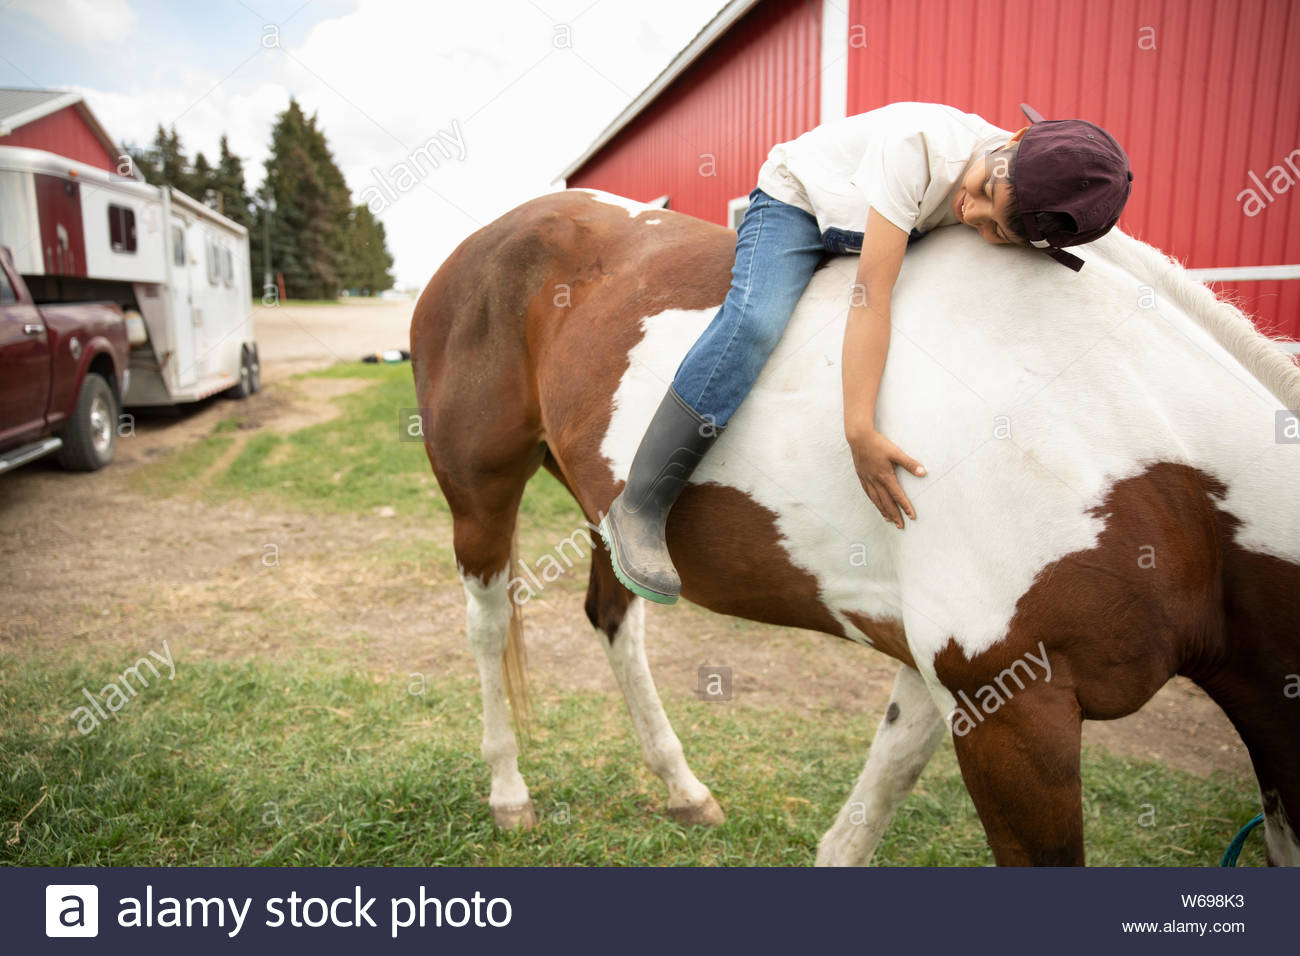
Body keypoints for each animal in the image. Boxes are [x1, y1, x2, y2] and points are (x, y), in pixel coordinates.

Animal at [409, 187, 1300, 866]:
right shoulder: (1016, 708)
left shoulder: (950, 671)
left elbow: (868, 809)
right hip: (481, 495)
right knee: (487, 627)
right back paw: (509, 793)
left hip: (605, 513)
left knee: (614, 619)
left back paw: (683, 788)